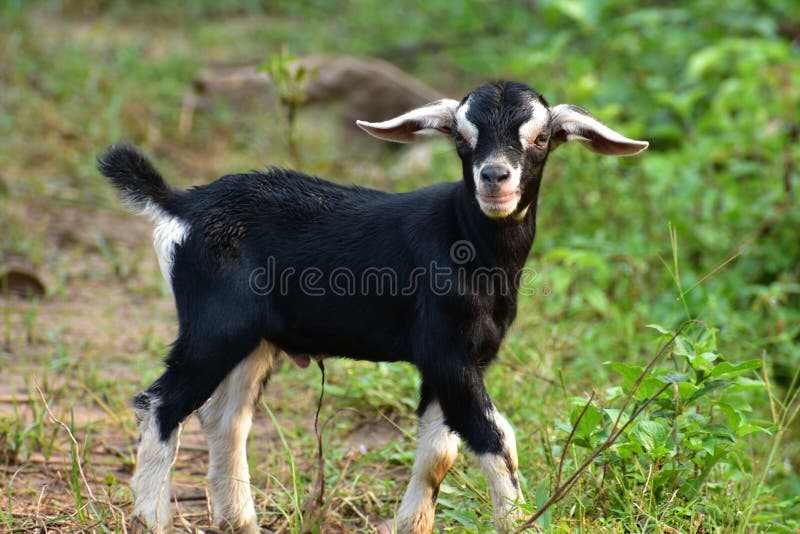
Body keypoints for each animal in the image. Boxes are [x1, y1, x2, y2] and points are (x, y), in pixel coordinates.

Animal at [98, 81, 647, 533]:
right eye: (462, 136)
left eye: (541, 137)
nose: (495, 176)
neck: (464, 240)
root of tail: (184, 206)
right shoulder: (447, 352)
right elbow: (496, 436)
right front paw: (518, 520)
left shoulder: (455, 362)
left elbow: (438, 451)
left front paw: (412, 525)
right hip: (214, 328)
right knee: (161, 404)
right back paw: (152, 520)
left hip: (254, 341)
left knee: (226, 419)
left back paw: (239, 521)